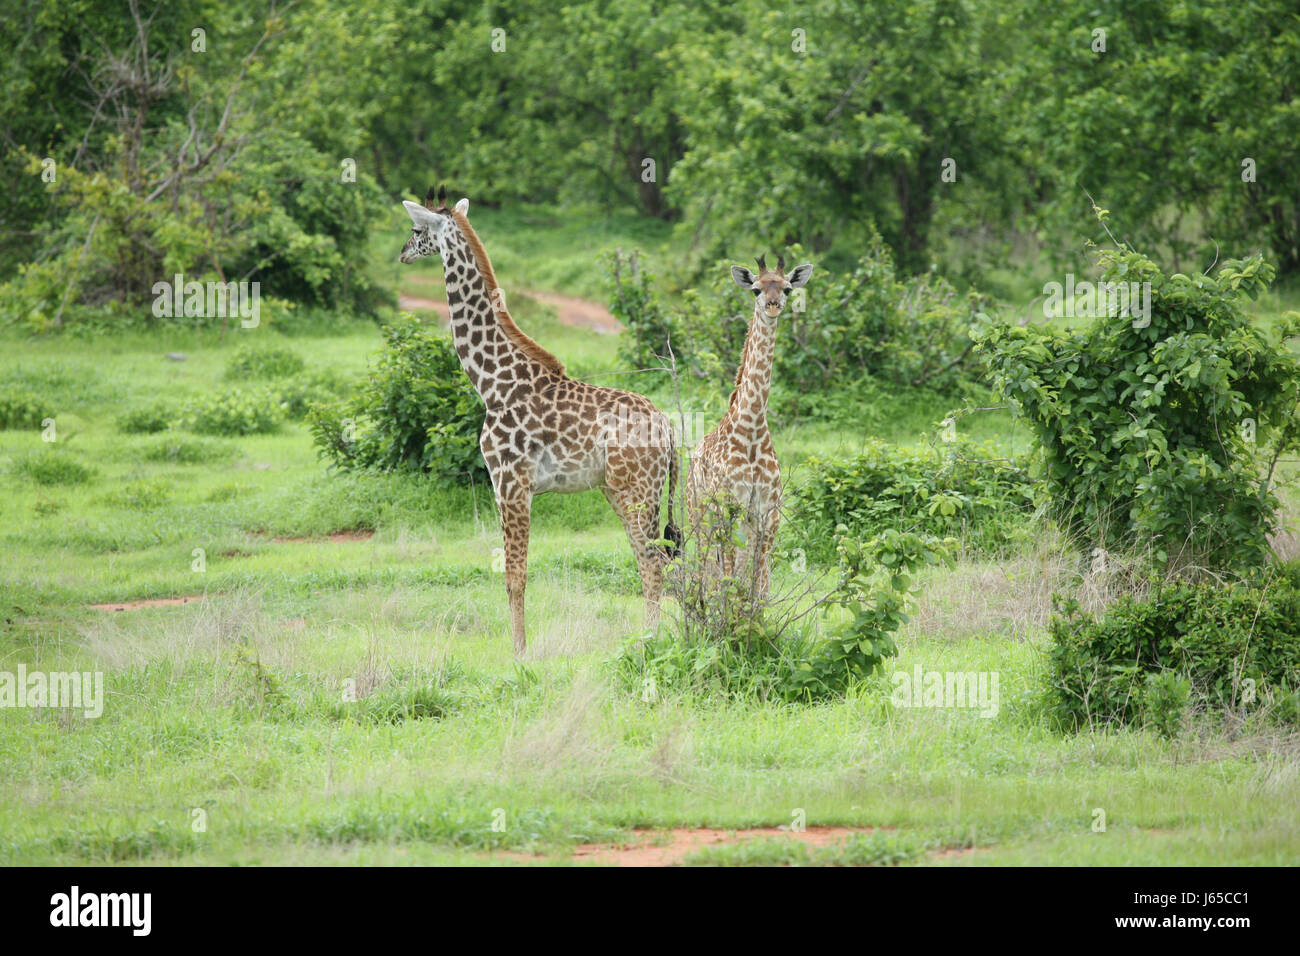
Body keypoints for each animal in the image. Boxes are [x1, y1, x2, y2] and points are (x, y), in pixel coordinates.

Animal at [399, 187, 681, 654]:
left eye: (417, 229)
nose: (402, 252)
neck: (492, 383)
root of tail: (669, 430)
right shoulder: (512, 486)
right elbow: (515, 573)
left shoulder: (510, 482)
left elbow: (515, 576)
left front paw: (519, 654)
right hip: (623, 491)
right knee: (654, 559)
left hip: (636, 490)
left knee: (654, 562)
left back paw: (649, 642)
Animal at [685, 253, 813, 602]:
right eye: (756, 288)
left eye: (786, 288)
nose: (772, 305)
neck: (752, 430)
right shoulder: (730, 506)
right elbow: (731, 578)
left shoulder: (768, 511)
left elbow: (759, 583)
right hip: (698, 513)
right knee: (706, 567)